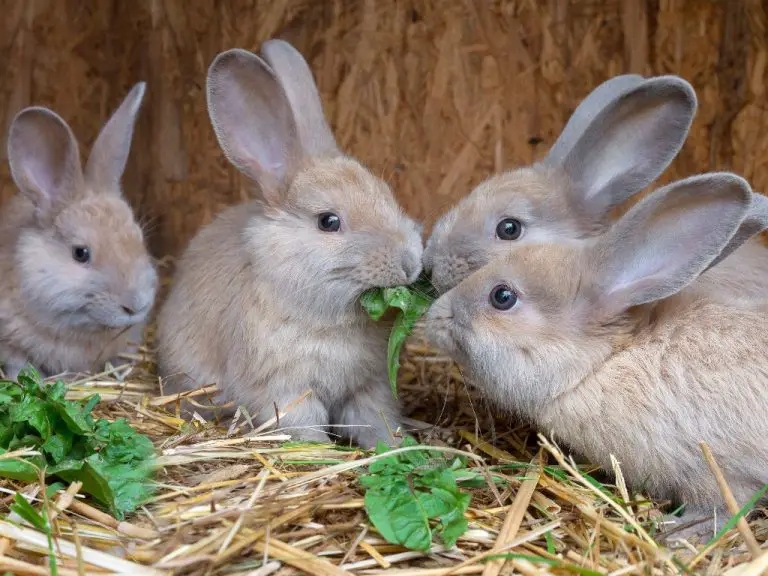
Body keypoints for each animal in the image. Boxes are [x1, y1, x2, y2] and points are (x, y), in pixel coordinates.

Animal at [156, 41, 423, 449]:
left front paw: (397, 447)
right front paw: (320, 451)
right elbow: (303, 425)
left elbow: (376, 421)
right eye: (328, 222)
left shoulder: (368, 387)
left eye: (387, 195)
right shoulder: (286, 389)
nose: (410, 262)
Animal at [425, 171, 768, 540]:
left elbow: (723, 506)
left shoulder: (713, 468)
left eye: (502, 296)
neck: (603, 363)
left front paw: (676, 531)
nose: (433, 314)